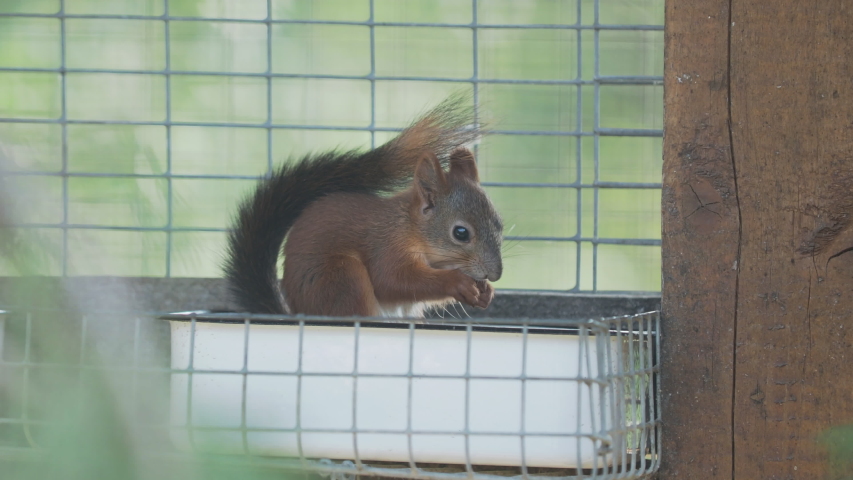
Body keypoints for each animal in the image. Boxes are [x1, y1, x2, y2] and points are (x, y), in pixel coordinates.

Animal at [224, 95, 503, 317]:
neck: (412, 228)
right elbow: (391, 280)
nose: (495, 274)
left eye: (500, 225)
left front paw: (486, 291)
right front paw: (458, 283)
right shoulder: (386, 246)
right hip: (342, 278)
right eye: (461, 233)